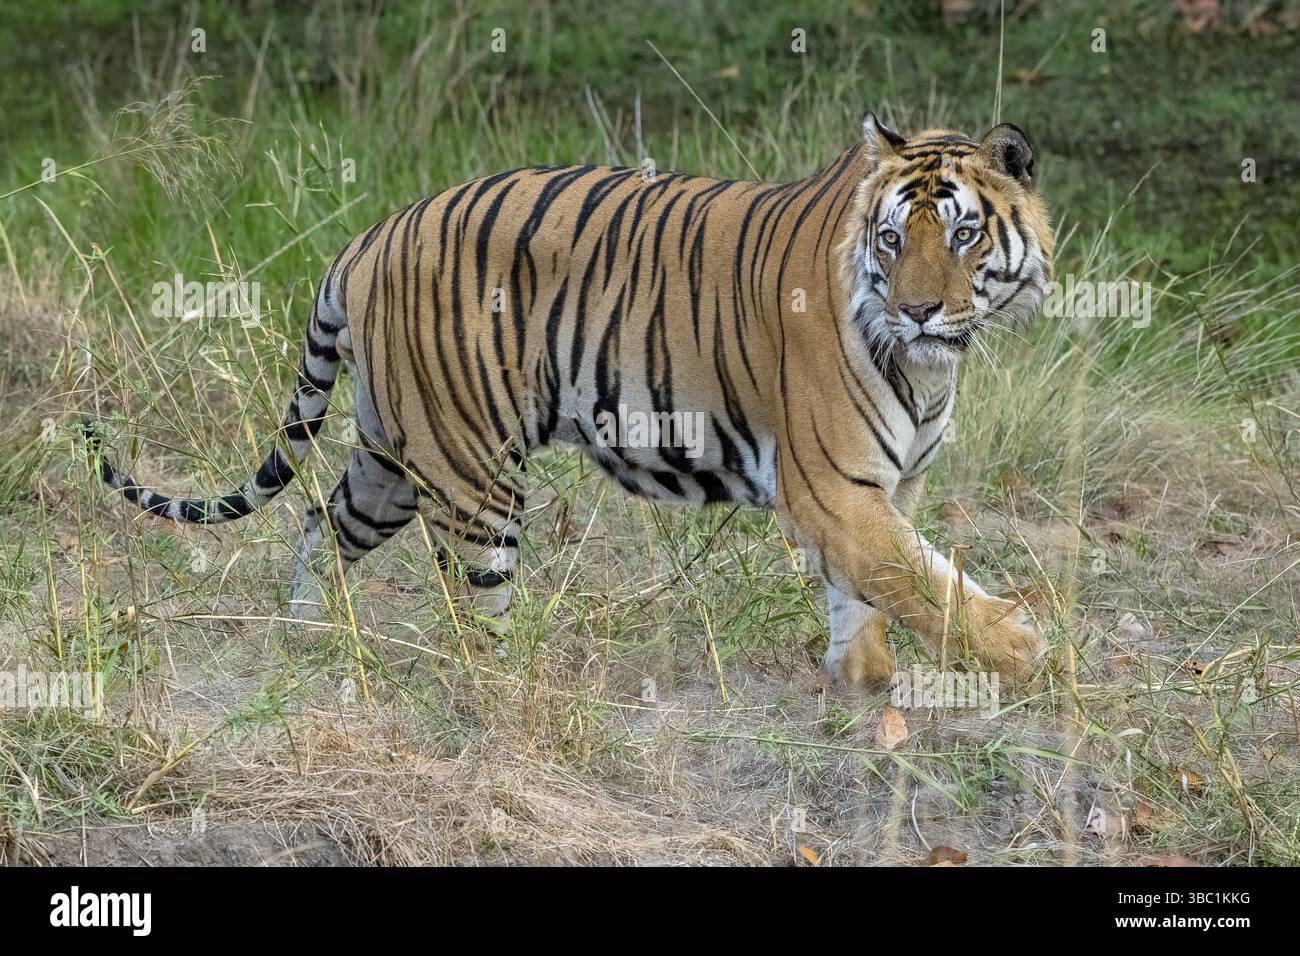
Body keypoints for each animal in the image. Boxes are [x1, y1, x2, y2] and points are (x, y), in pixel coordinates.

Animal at [89, 113, 1054, 687]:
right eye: (892, 239)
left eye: (963, 235)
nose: (916, 309)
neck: (929, 367)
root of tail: (369, 236)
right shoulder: (832, 489)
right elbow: (920, 580)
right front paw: (1022, 646)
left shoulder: (885, 490)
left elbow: (876, 592)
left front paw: (864, 687)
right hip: (470, 472)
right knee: (477, 609)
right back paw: (507, 690)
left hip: (390, 457)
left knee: (322, 524)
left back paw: (311, 640)